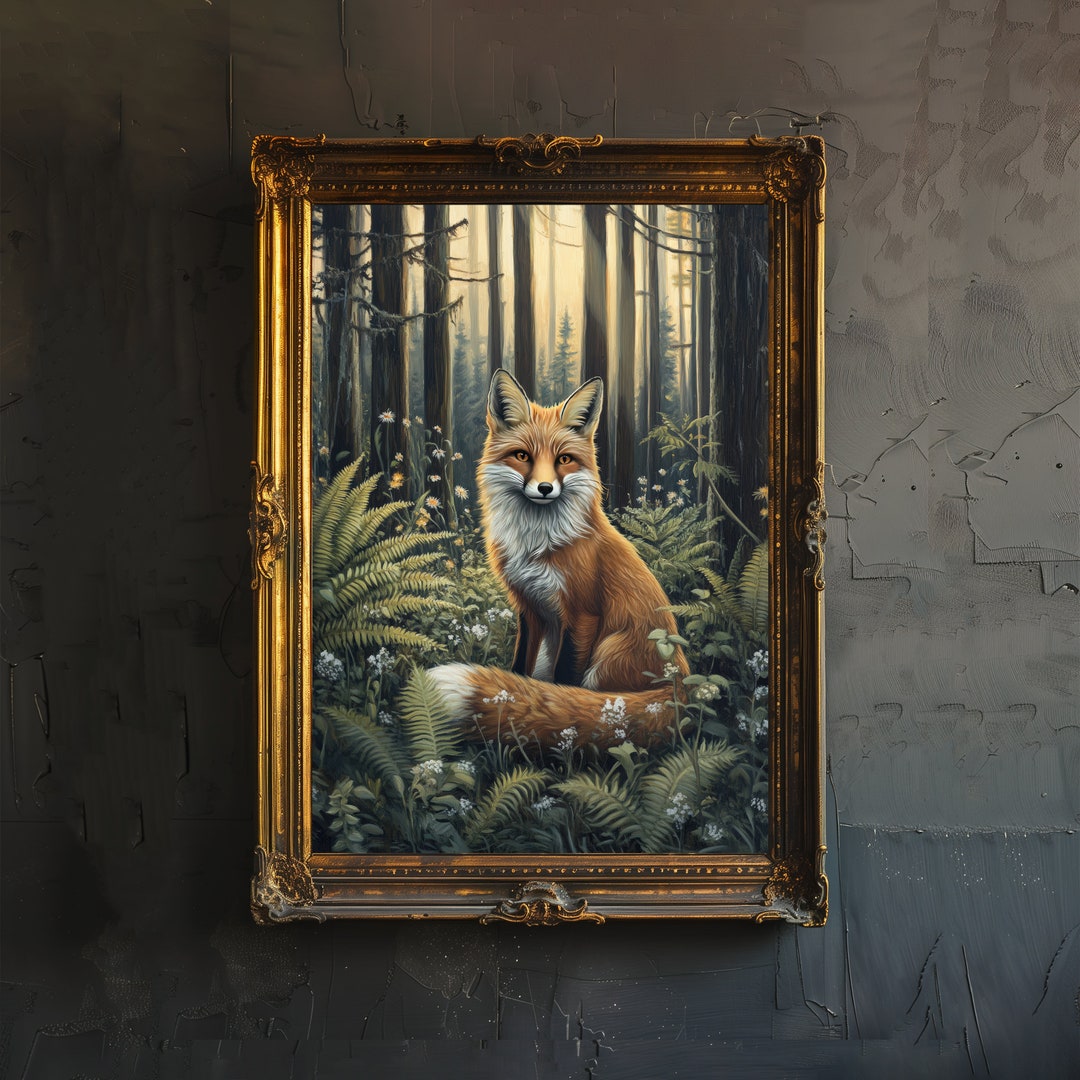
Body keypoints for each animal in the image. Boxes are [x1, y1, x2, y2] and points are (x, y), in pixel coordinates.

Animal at [427, 368, 688, 749]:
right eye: (522, 456)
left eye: (564, 459)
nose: (545, 488)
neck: (538, 545)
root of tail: (680, 681)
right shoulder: (530, 608)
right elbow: (520, 668)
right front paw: (511, 699)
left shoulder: (582, 615)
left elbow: (567, 682)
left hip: (608, 653)